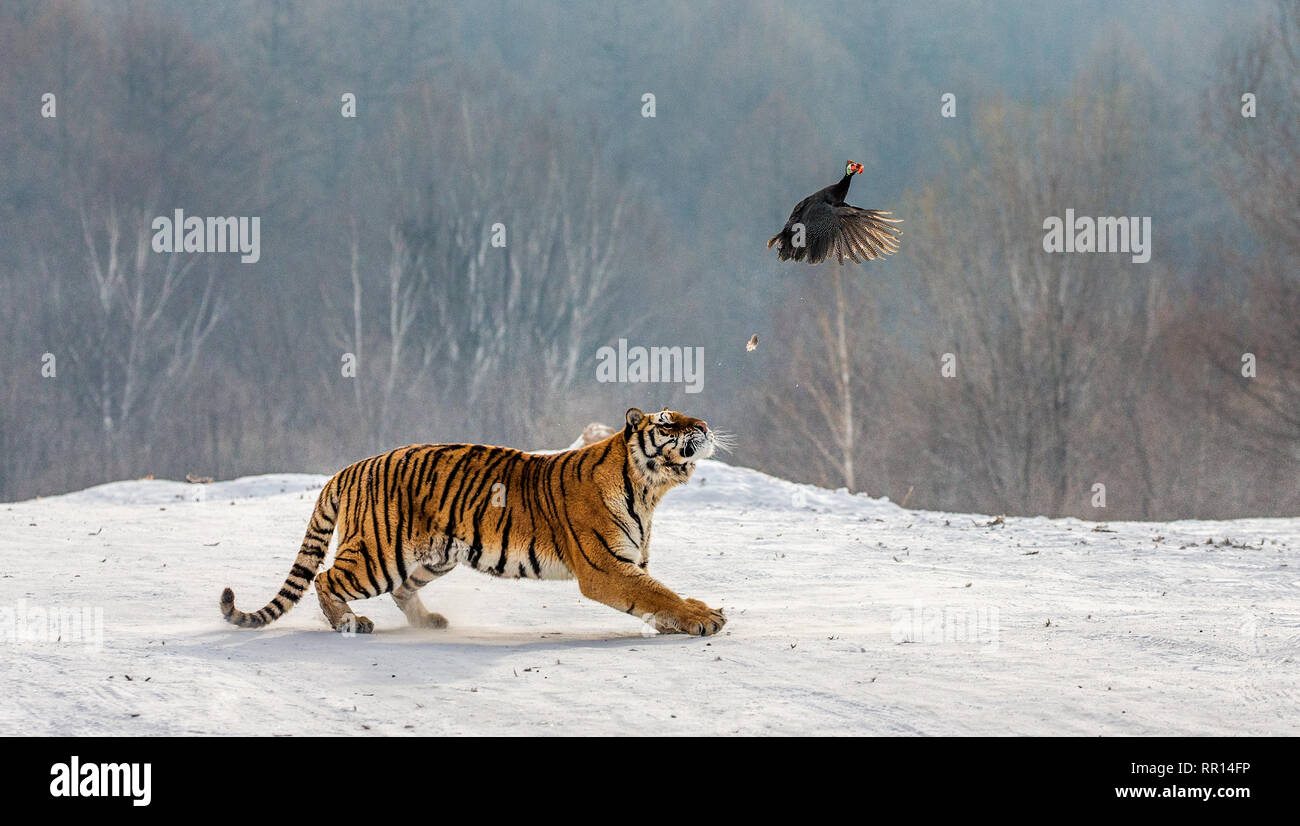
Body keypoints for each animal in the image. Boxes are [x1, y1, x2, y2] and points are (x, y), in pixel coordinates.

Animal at [219, 407, 728, 636]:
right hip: (378, 555)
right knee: (326, 577)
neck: (649, 489)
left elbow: (658, 595)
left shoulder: (631, 564)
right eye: (667, 422)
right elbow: (660, 593)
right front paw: (703, 618)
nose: (704, 425)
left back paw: (430, 622)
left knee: (402, 591)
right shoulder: (606, 568)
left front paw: (684, 617)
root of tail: (350, 467)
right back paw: (349, 623)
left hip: (432, 557)